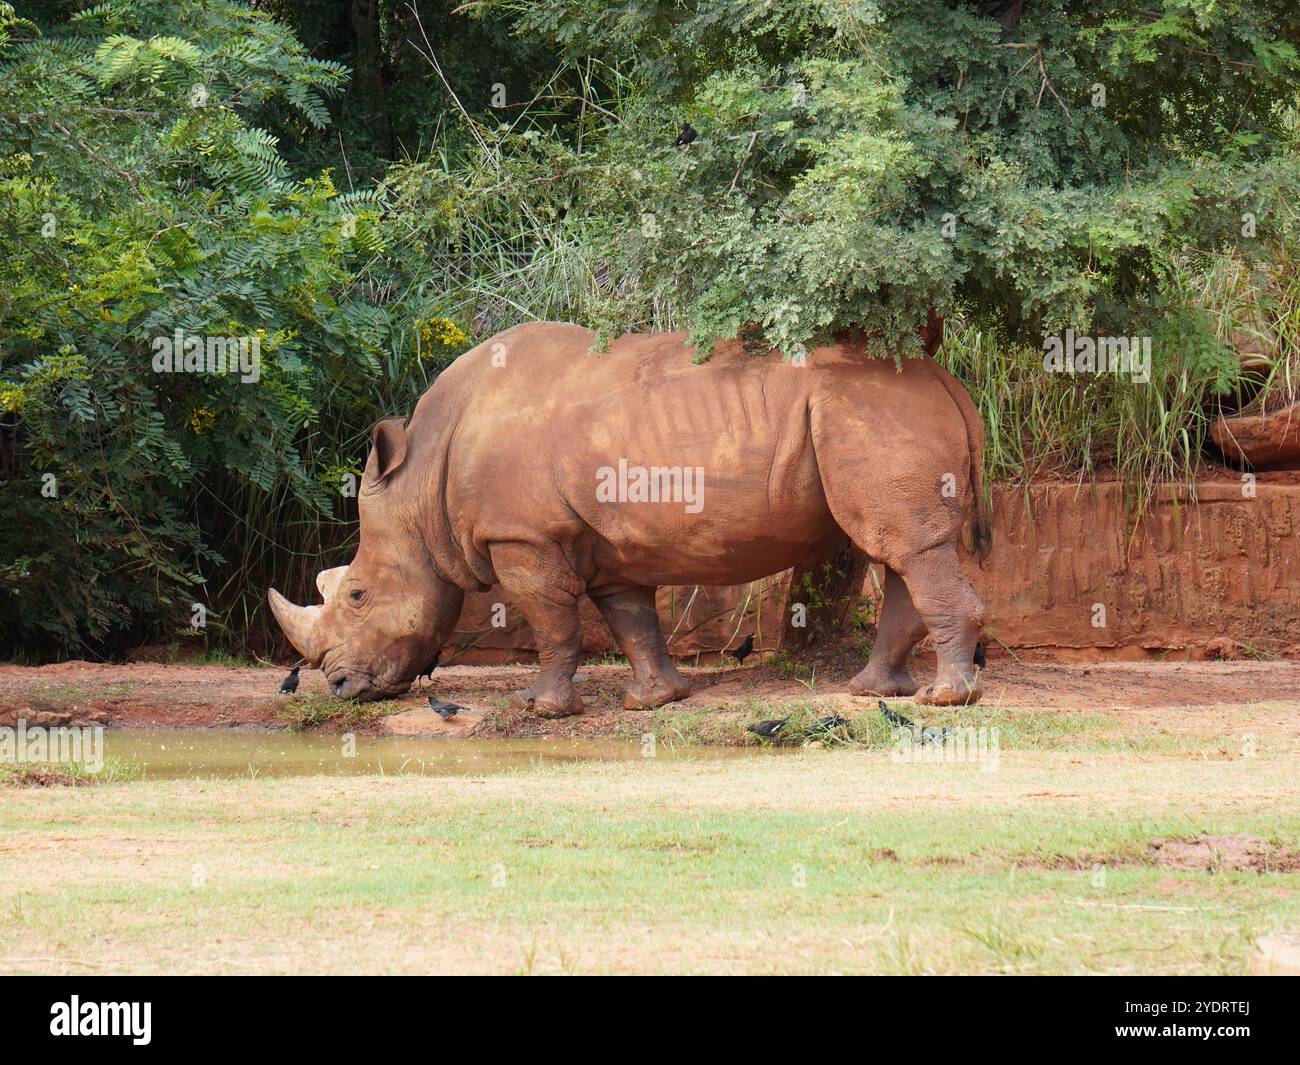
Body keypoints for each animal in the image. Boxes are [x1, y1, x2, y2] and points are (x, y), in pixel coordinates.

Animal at [269, 322, 991, 714]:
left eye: (357, 595)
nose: (338, 685)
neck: (421, 487)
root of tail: (946, 381)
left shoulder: (523, 536)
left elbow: (552, 620)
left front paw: (542, 707)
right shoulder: (602, 542)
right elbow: (630, 616)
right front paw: (656, 699)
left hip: (867, 412)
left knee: (907, 548)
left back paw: (945, 699)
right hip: (869, 414)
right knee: (902, 552)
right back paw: (875, 692)